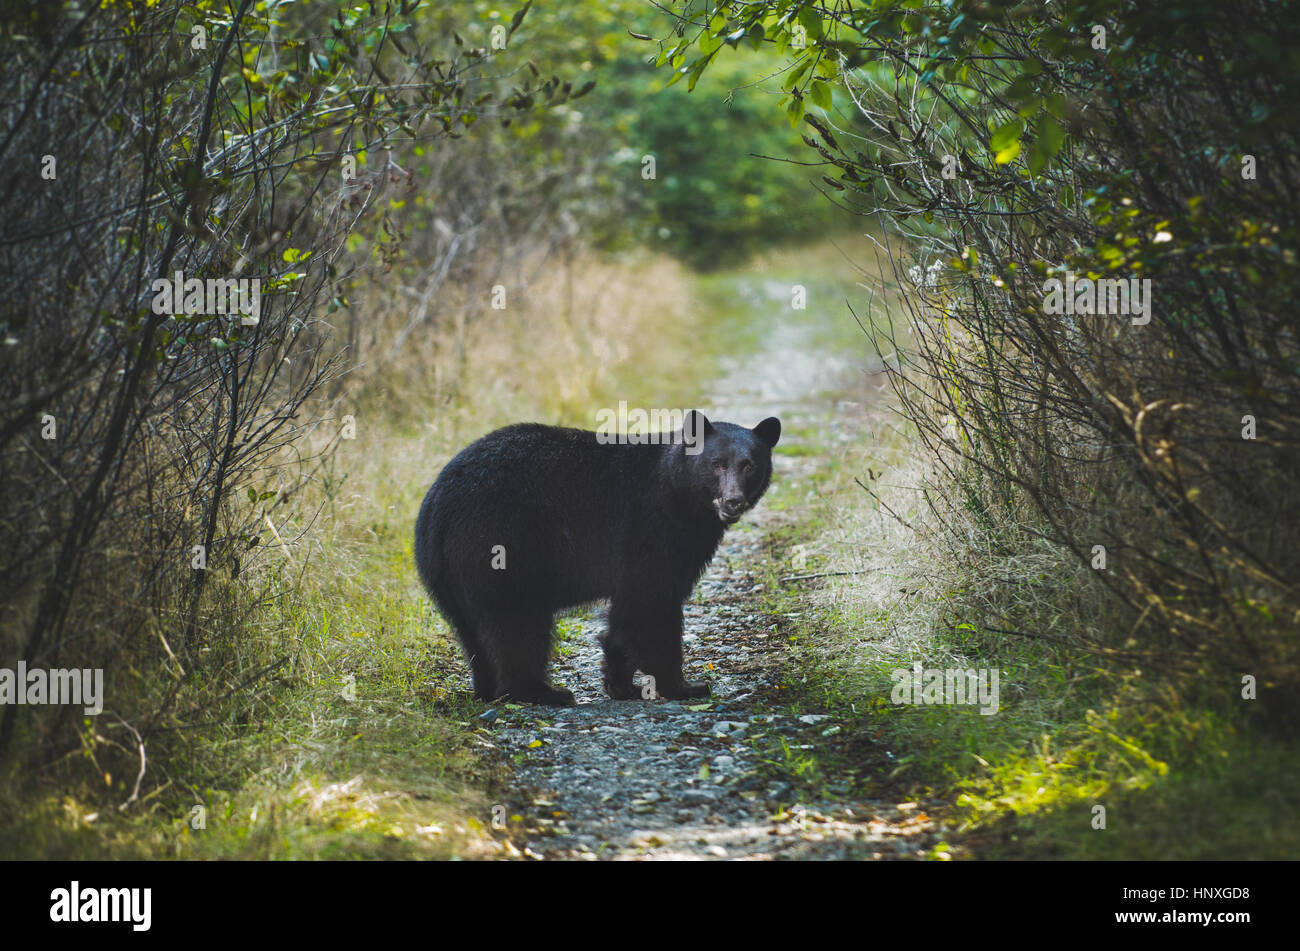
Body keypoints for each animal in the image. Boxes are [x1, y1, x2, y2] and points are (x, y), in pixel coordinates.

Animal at [413, 410, 781, 705]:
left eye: (749, 465)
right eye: (716, 463)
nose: (733, 501)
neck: (682, 496)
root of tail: (437, 509)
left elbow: (627, 613)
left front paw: (621, 684)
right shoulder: (652, 528)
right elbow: (654, 606)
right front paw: (684, 686)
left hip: (449, 575)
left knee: (471, 632)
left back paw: (487, 689)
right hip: (501, 548)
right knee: (518, 626)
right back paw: (542, 692)